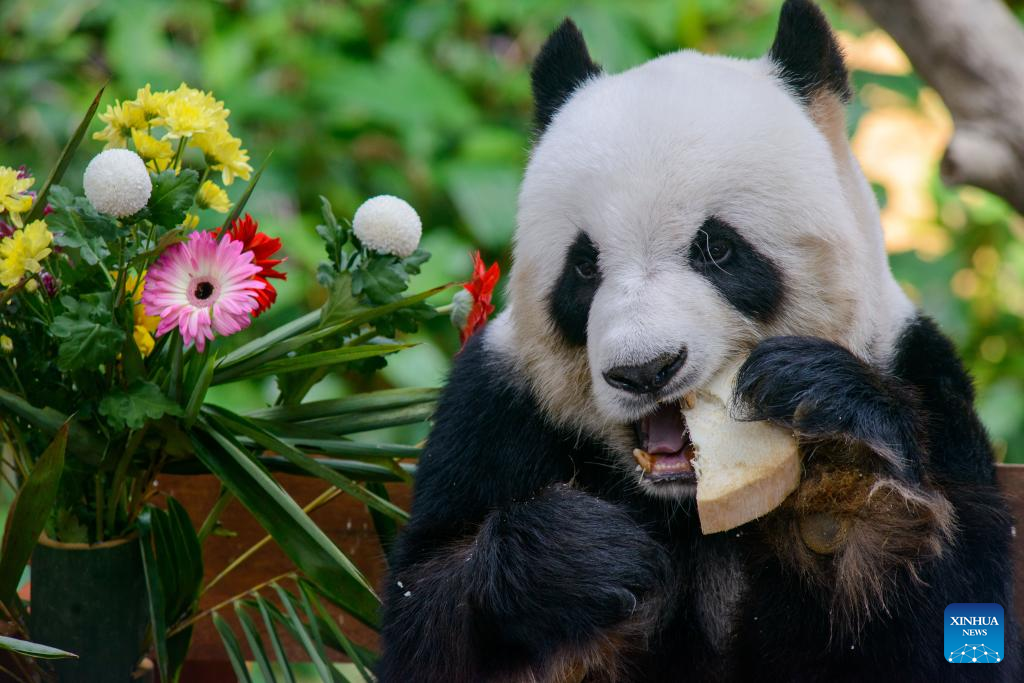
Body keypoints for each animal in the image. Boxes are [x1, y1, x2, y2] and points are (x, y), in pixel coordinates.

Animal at [378, 1, 1020, 681]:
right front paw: (576, 555)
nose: (644, 370)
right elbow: (423, 609)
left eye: (717, 249)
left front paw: (841, 454)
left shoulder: (921, 376)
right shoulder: (493, 406)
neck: (682, 507)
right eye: (584, 266)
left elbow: (950, 614)